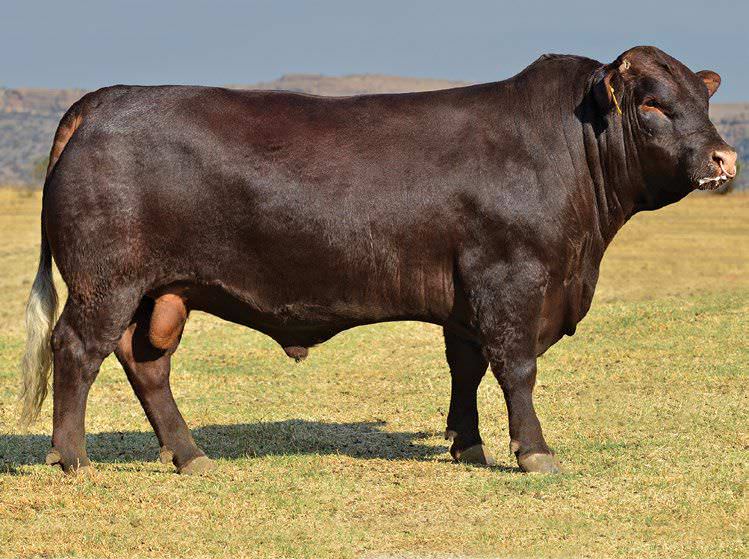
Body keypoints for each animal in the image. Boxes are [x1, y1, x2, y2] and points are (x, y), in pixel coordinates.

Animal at [19, 46, 736, 475]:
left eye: (702, 102)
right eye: (651, 103)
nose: (724, 158)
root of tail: (105, 99)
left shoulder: (466, 296)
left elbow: (466, 369)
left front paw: (468, 445)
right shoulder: (511, 279)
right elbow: (516, 370)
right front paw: (533, 452)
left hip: (159, 293)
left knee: (146, 362)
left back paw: (190, 455)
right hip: (106, 283)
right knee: (76, 348)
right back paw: (72, 457)